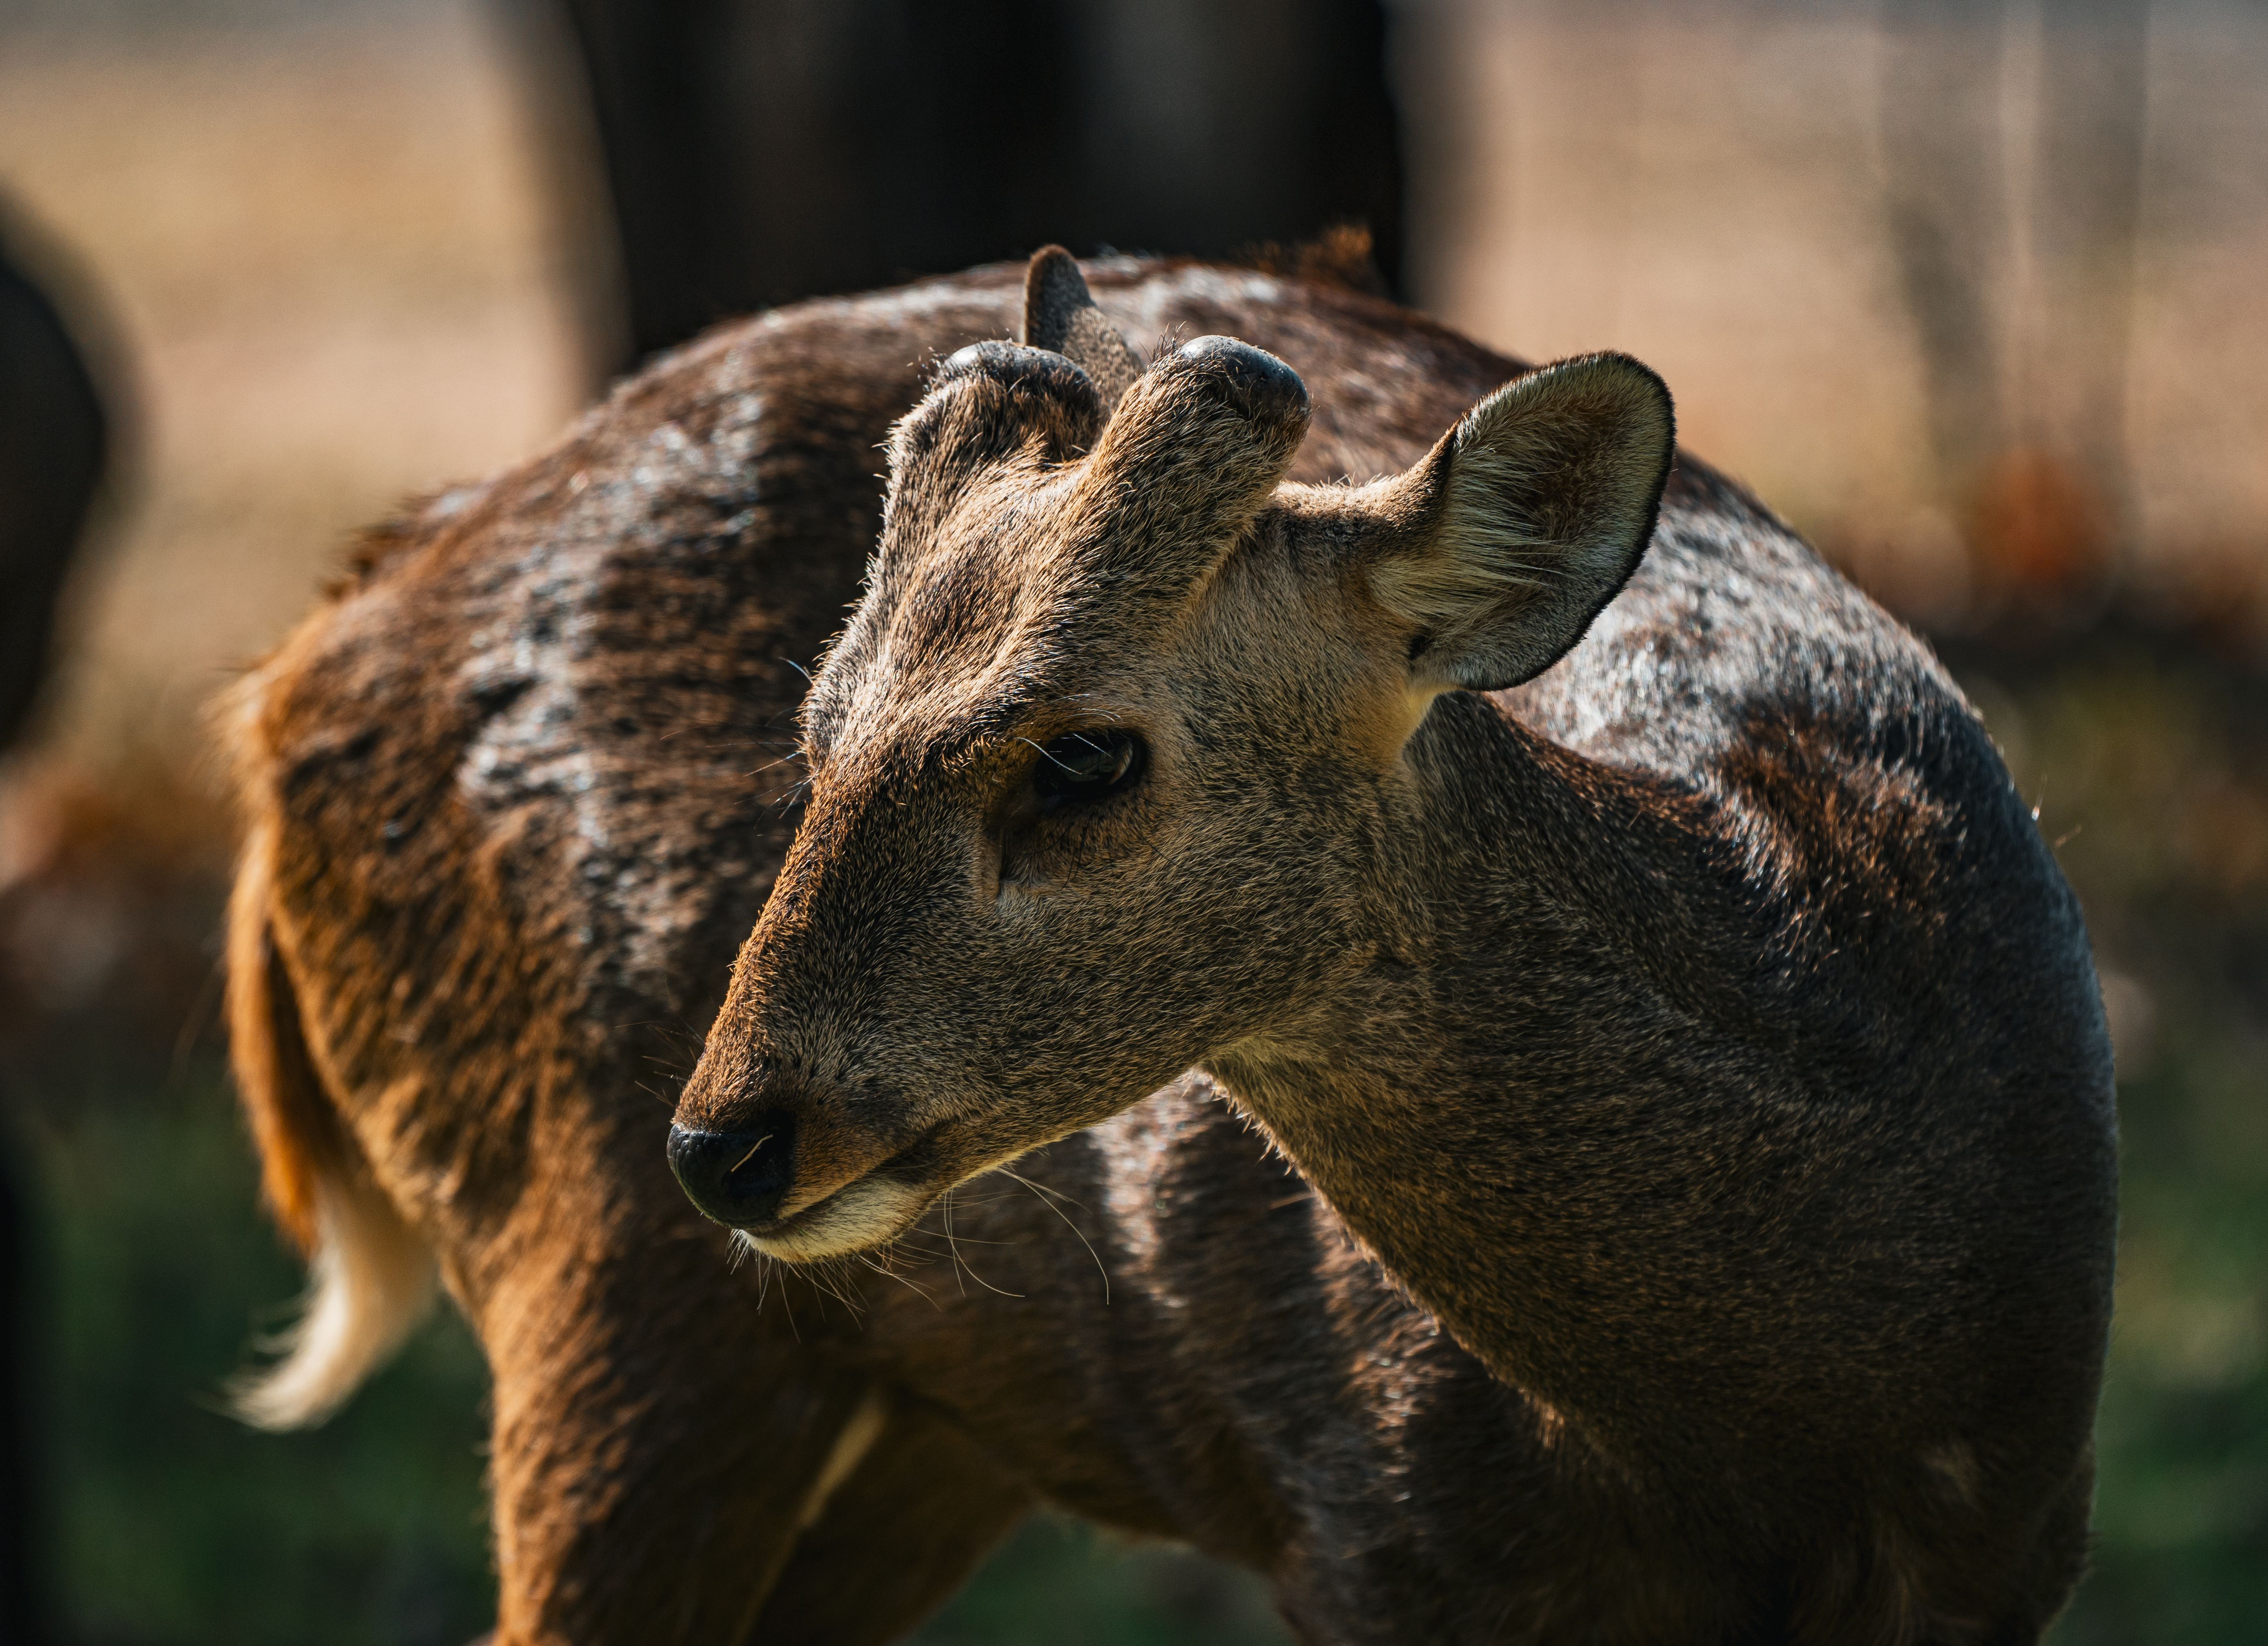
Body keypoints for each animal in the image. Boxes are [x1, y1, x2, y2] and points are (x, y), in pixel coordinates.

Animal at [223, 241, 1906, 1645]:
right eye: (817, 730)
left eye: (1086, 755)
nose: (721, 1144)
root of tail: (295, 670)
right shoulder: (1376, 1537)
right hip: (585, 1274)